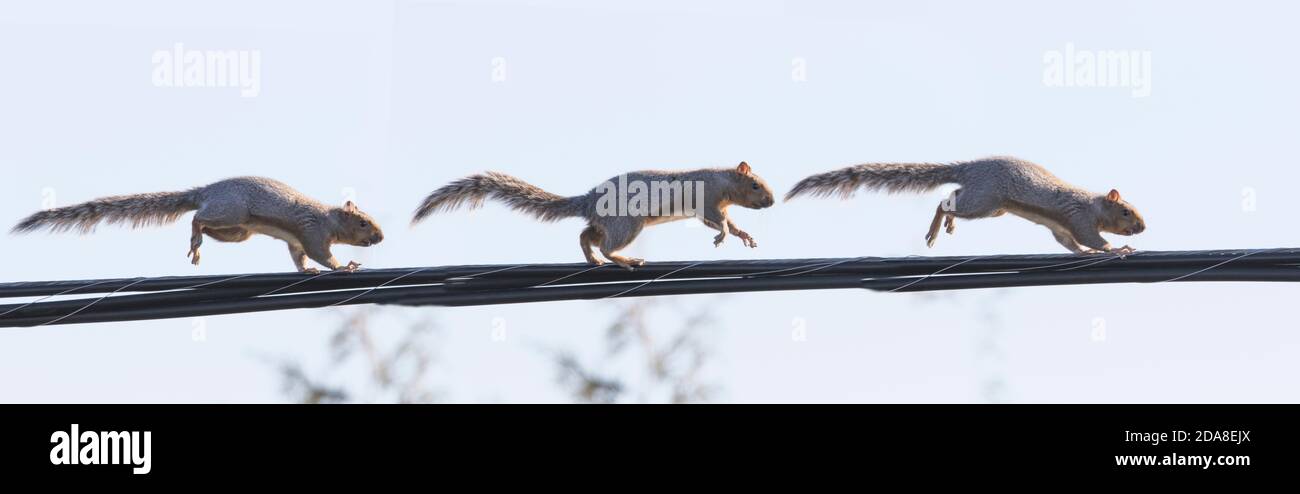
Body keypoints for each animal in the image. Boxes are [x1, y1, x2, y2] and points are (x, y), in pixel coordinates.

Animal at [11, 177, 385, 273]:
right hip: (233, 214)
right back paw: (194, 240)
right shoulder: (313, 232)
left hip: (237, 232)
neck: (328, 217)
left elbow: (298, 257)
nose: (381, 237)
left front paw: (306, 271)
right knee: (197, 218)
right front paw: (344, 266)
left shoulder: (295, 241)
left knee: (204, 225)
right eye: (363, 223)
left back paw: (197, 246)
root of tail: (204, 192)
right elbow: (321, 253)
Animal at [412, 161, 776, 269]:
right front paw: (723, 236)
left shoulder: (719, 205)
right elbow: (718, 221)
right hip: (628, 224)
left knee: (585, 234)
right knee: (605, 244)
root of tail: (588, 201)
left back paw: (592, 259)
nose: (771, 201)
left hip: (608, 223)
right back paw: (623, 260)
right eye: (756, 185)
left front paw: (744, 236)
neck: (723, 180)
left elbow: (732, 222)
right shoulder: (708, 202)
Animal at [784, 156, 1146, 254]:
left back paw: (946, 225)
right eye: (1126, 211)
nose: (1143, 227)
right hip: (984, 202)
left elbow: (1070, 244)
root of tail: (971, 167)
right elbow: (1091, 238)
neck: (1094, 205)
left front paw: (1085, 254)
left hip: (988, 204)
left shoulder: (1060, 227)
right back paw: (937, 228)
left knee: (952, 195)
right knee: (943, 204)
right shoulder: (1079, 216)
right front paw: (1116, 249)